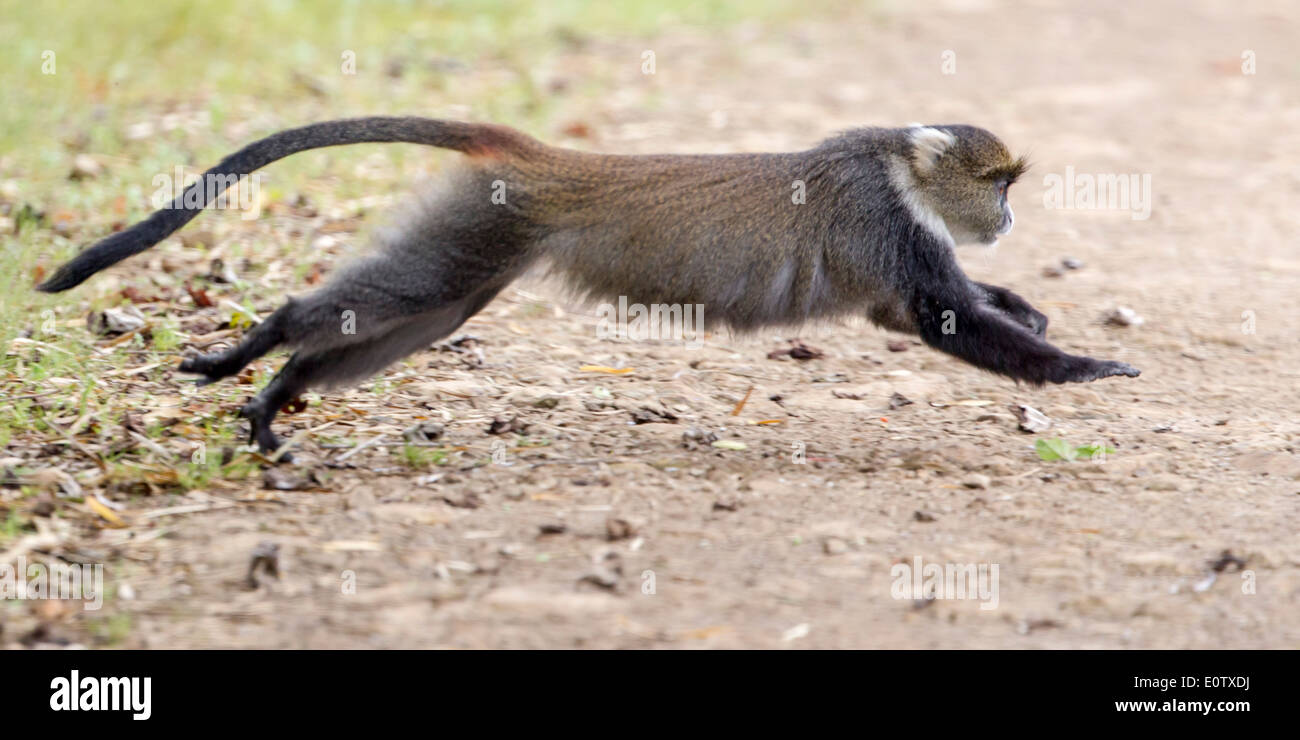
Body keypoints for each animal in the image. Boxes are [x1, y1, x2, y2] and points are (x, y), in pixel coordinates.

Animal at [38, 116, 1139, 459]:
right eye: (999, 183)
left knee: (424, 314)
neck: (899, 164)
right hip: (491, 220)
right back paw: (259, 343)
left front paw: (1027, 307)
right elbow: (939, 318)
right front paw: (1079, 368)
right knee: (404, 296)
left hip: (492, 235)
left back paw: (282, 385)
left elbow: (914, 313)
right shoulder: (888, 220)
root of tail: (549, 160)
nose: (1010, 220)